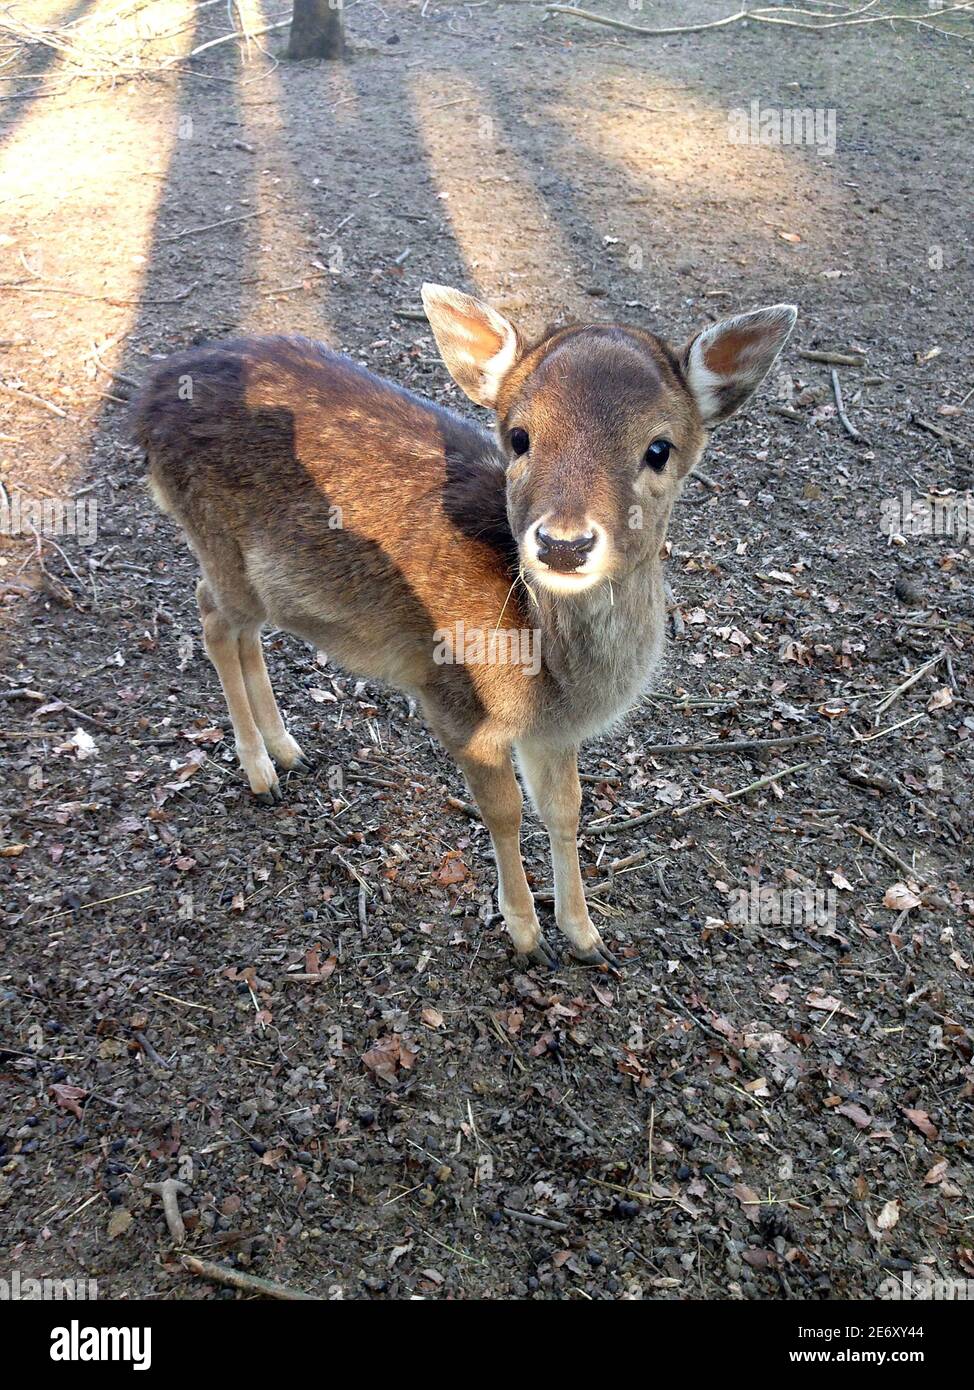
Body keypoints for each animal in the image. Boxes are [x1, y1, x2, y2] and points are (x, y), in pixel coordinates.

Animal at [135, 287, 796, 967]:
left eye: (659, 449)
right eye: (519, 436)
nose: (563, 545)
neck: (550, 676)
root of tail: (148, 394)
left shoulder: (553, 732)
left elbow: (566, 809)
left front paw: (587, 937)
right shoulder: (457, 707)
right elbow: (505, 813)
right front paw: (527, 936)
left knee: (241, 631)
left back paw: (288, 750)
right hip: (218, 547)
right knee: (212, 617)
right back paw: (260, 772)